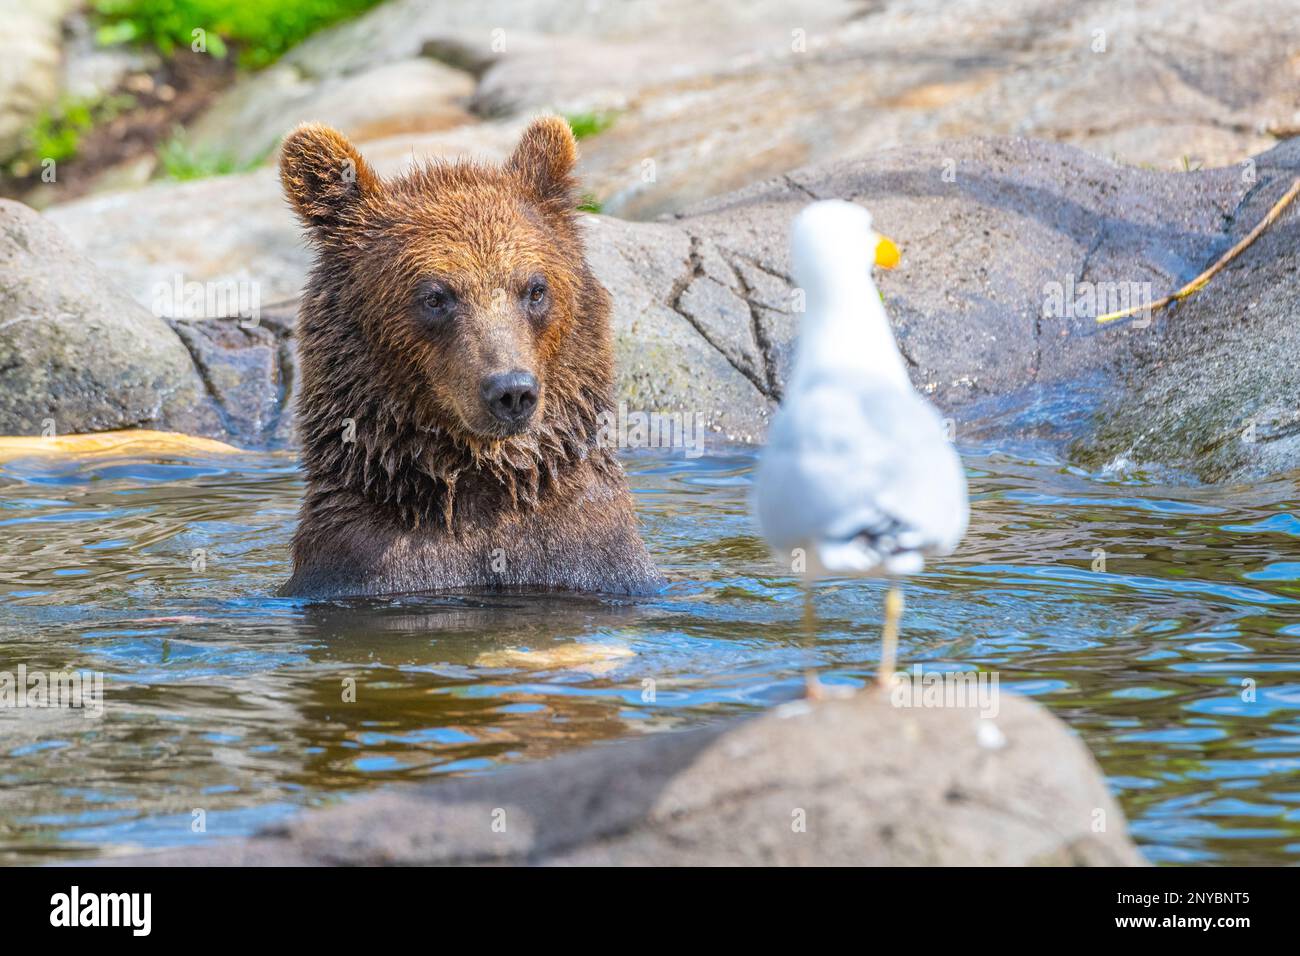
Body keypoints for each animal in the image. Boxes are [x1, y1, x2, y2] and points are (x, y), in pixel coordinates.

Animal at [277, 116, 663, 598]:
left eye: (536, 289)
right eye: (435, 296)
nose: (511, 391)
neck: (480, 485)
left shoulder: (592, 554)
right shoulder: (357, 562)